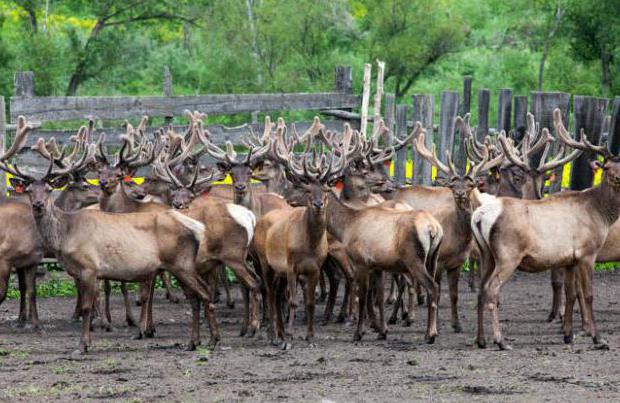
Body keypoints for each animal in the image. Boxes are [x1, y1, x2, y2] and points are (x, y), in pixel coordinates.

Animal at [472, 108, 616, 350]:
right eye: (607, 167)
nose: (618, 178)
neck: (601, 214)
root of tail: (480, 214)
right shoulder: (587, 253)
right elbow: (587, 295)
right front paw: (598, 338)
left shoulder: (569, 259)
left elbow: (570, 294)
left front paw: (568, 335)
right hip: (507, 254)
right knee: (492, 290)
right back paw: (500, 340)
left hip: (486, 255)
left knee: (481, 291)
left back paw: (481, 340)